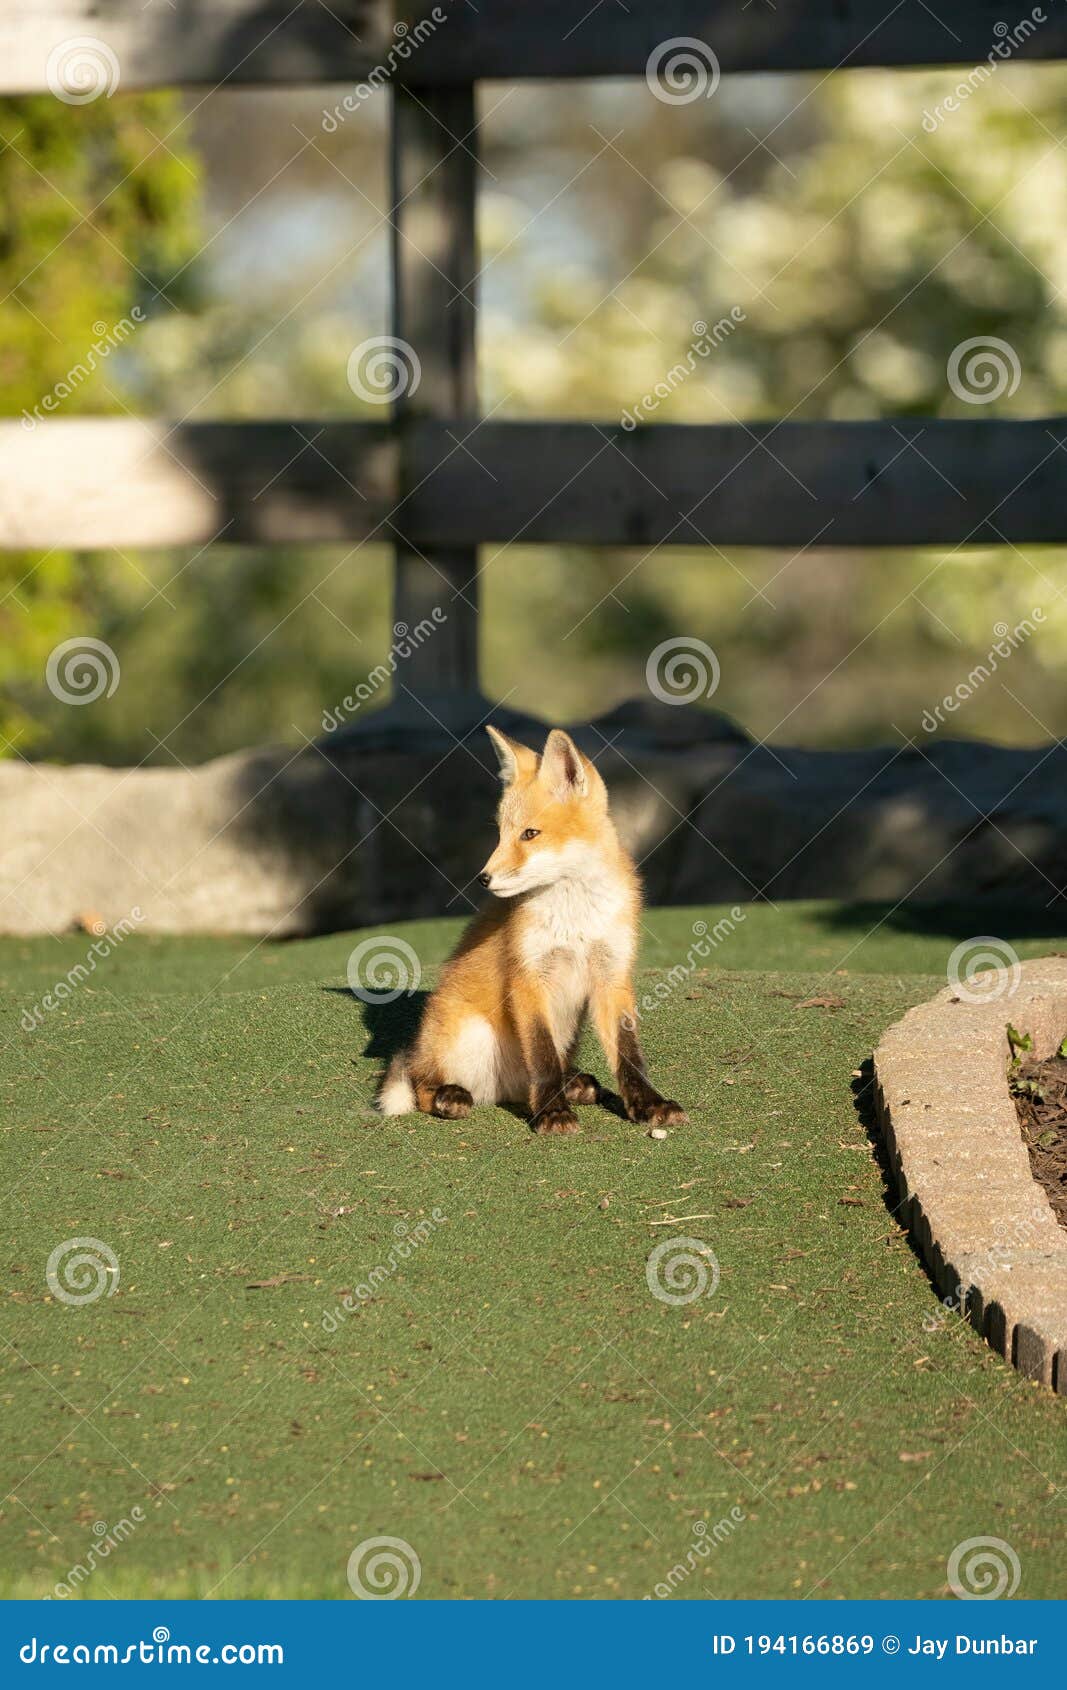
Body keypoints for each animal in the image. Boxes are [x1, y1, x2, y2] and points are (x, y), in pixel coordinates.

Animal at [376, 725, 688, 1135]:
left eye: (530, 833)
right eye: (501, 833)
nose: (483, 879)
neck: (576, 918)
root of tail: (503, 1089)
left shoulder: (613, 975)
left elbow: (629, 1055)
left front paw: (649, 1104)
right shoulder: (528, 977)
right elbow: (542, 1057)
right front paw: (553, 1112)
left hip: (566, 1032)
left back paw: (572, 1086)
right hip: (470, 1036)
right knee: (421, 1083)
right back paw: (451, 1096)